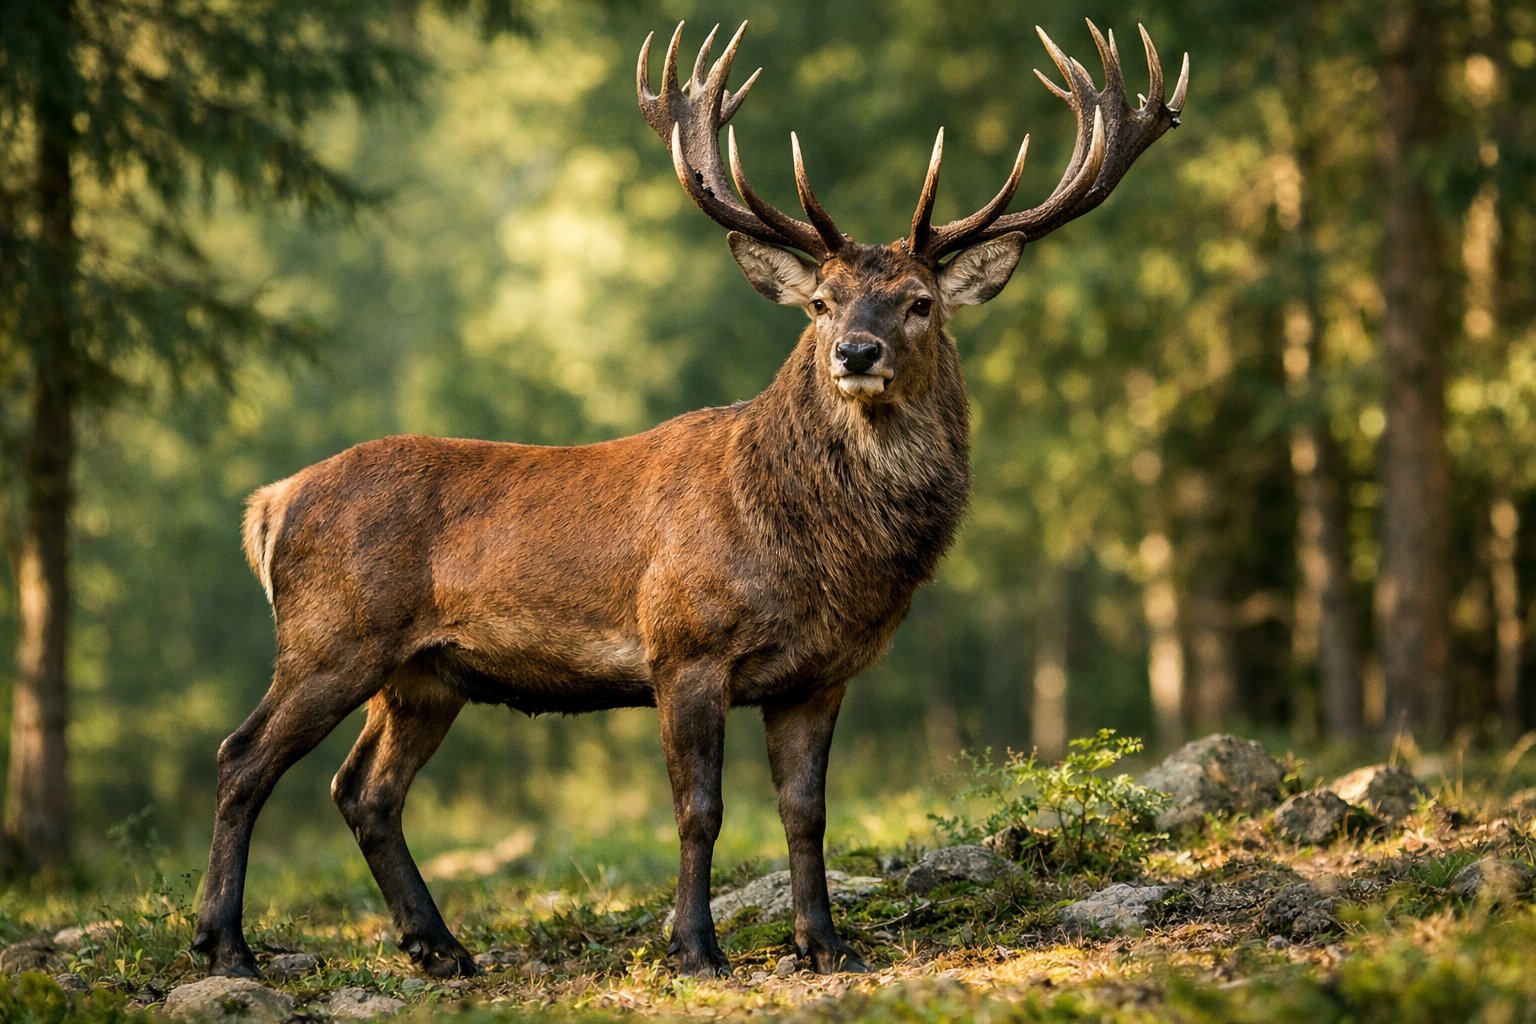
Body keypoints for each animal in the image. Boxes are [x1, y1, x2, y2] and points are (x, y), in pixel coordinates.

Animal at [192, 20, 1186, 980]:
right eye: (820, 302)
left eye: (919, 303)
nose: (855, 353)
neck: (818, 556)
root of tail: (271, 505)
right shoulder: (684, 647)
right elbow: (700, 810)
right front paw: (697, 949)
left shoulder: (819, 675)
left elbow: (806, 813)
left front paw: (824, 945)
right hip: (332, 636)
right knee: (243, 757)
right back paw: (226, 946)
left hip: (424, 674)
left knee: (364, 790)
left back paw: (440, 949)